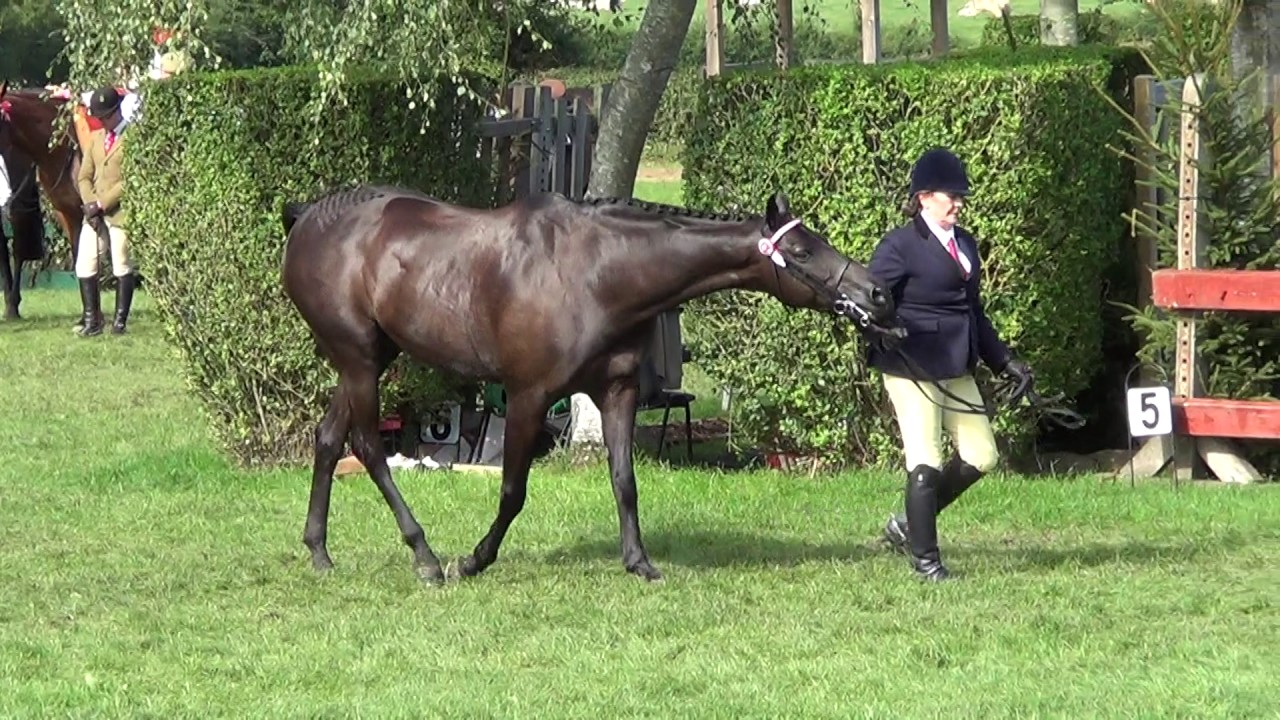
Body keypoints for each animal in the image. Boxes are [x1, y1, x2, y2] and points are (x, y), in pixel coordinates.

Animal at [280, 184, 905, 585]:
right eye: (802, 250)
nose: (877, 294)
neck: (598, 271)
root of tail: (307, 216)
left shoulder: (617, 393)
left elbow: (625, 480)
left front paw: (640, 563)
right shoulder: (529, 395)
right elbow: (513, 491)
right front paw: (476, 560)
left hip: (367, 358)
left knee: (328, 439)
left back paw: (319, 552)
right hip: (359, 359)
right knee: (368, 447)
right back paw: (427, 558)